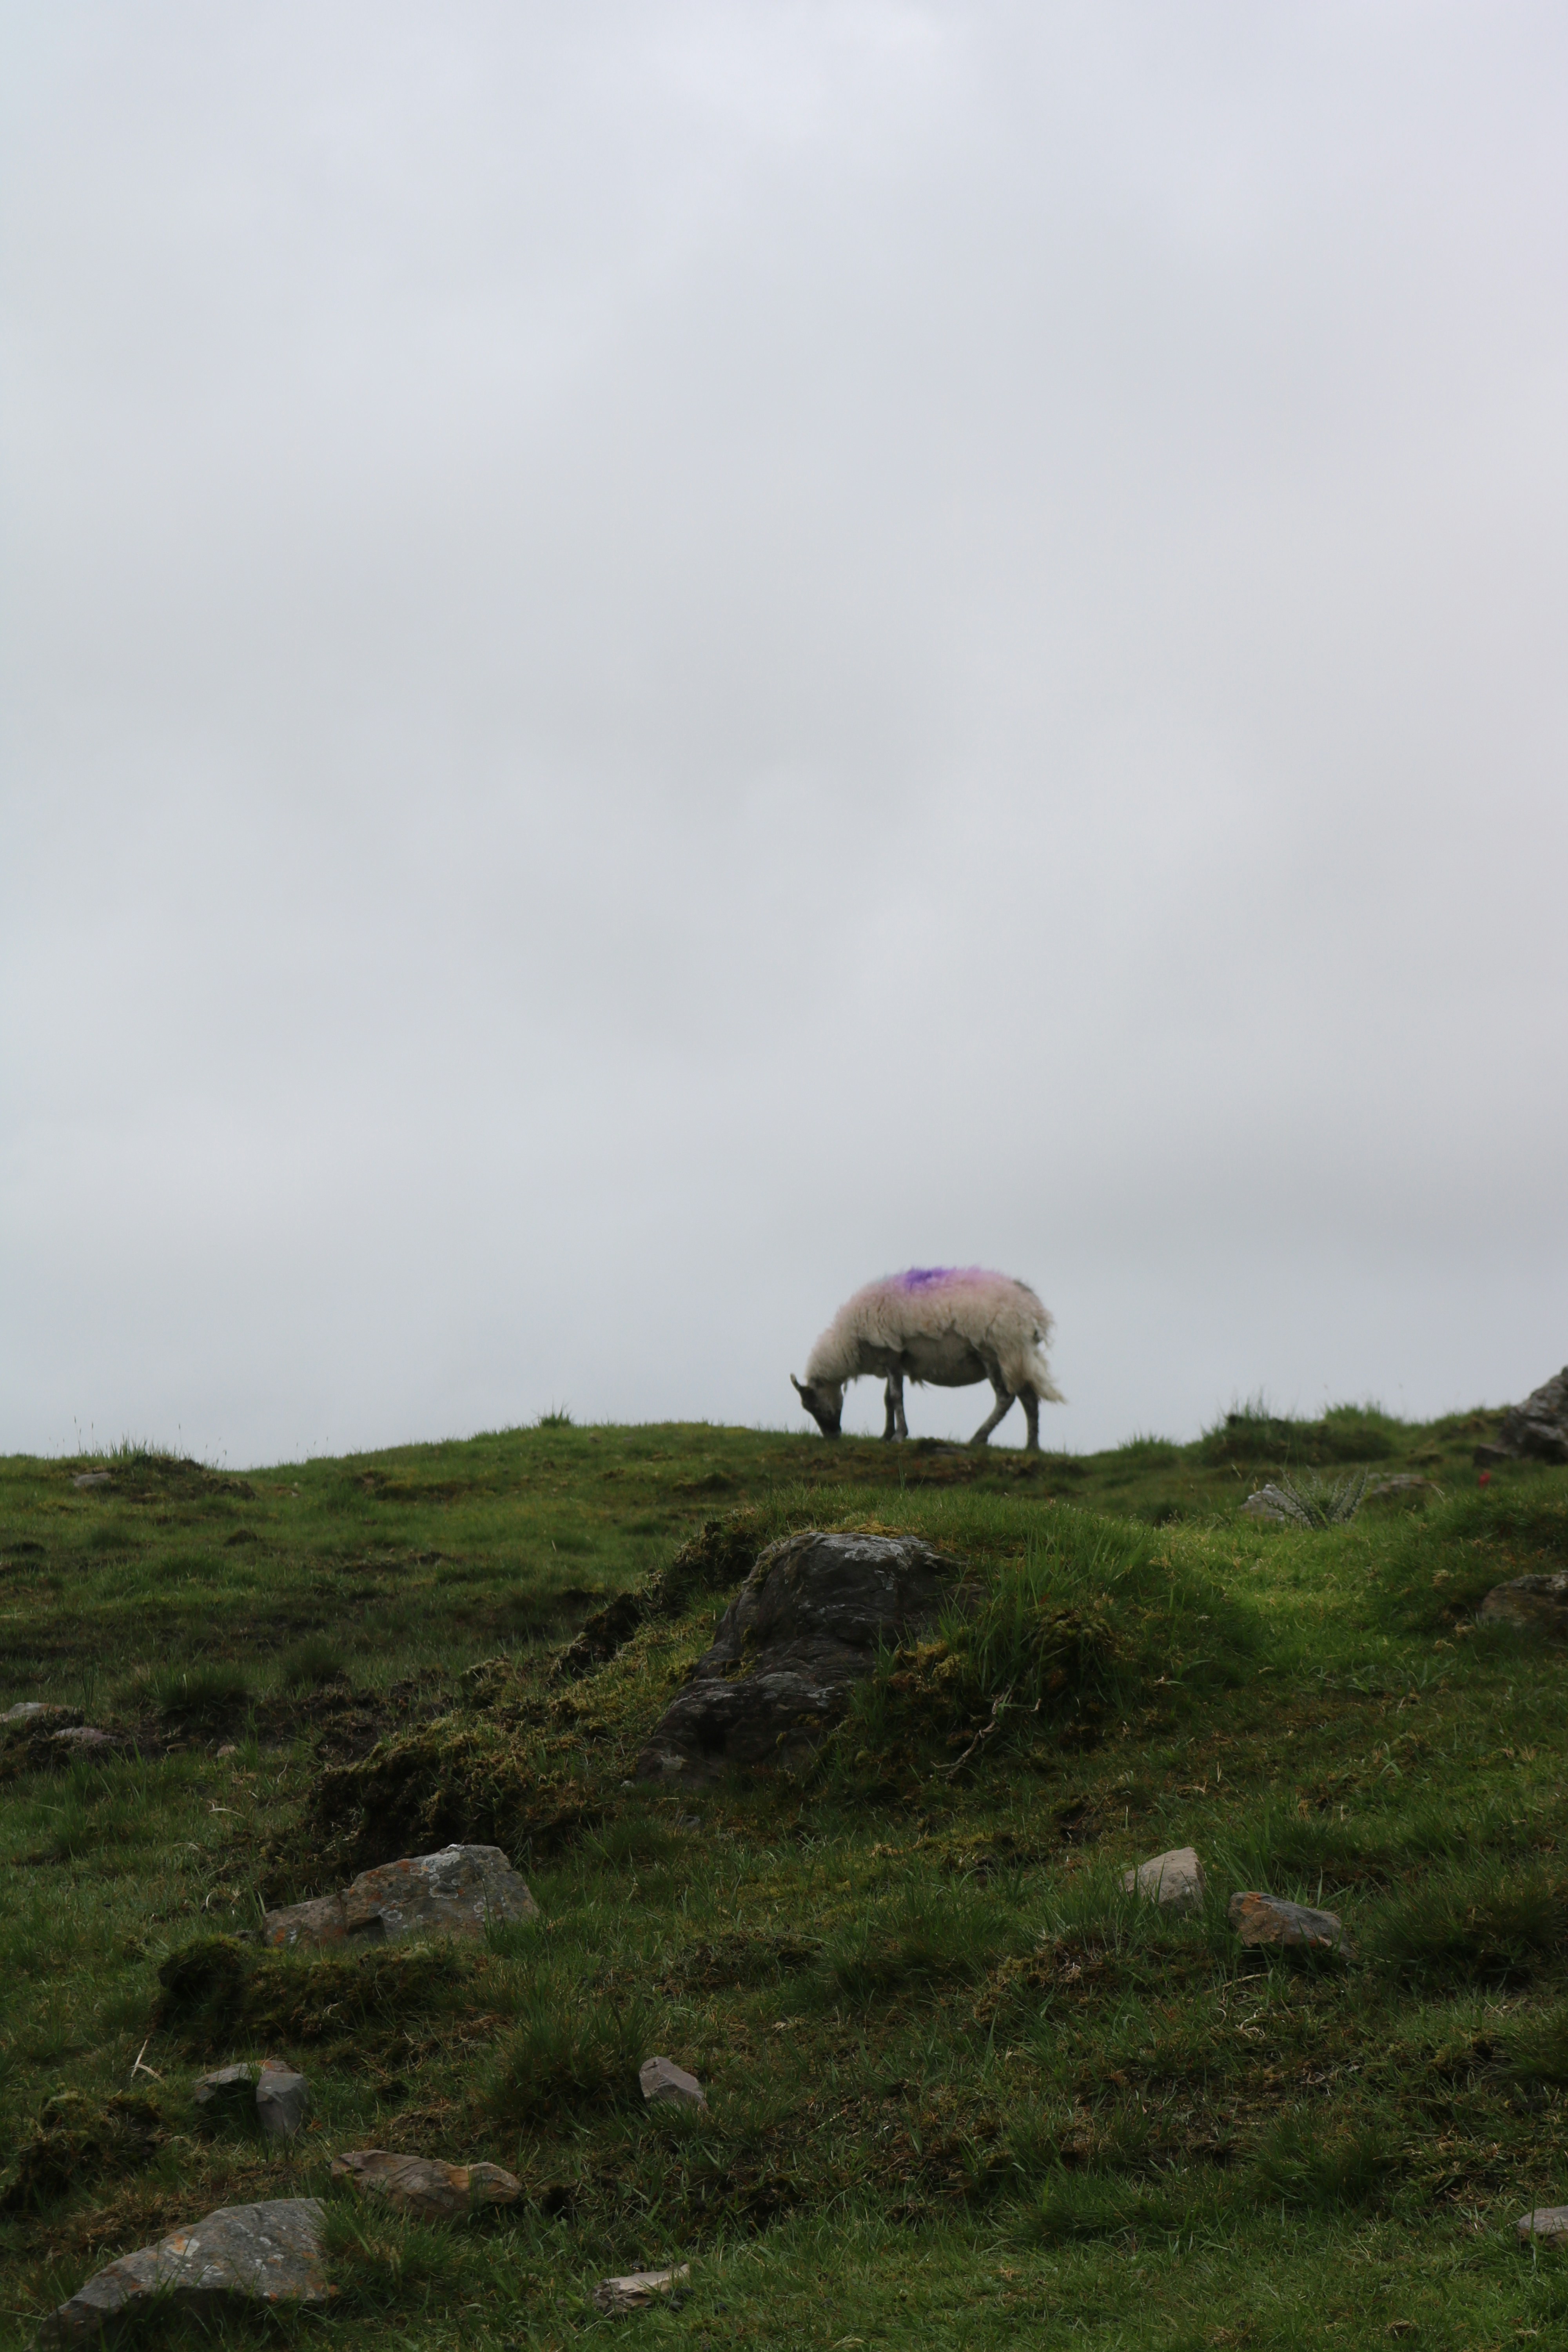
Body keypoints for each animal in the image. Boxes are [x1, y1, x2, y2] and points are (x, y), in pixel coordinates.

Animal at [790, 1267, 1064, 1452]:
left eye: (813, 1405)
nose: (833, 1436)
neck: (848, 1343)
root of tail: (1035, 1310)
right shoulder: (894, 1360)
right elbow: (888, 1400)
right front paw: (886, 1435)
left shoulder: (891, 1351)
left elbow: (895, 1397)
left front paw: (899, 1435)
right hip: (1016, 1356)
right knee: (1029, 1398)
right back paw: (1032, 1447)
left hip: (995, 1351)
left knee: (1007, 1398)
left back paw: (978, 1439)